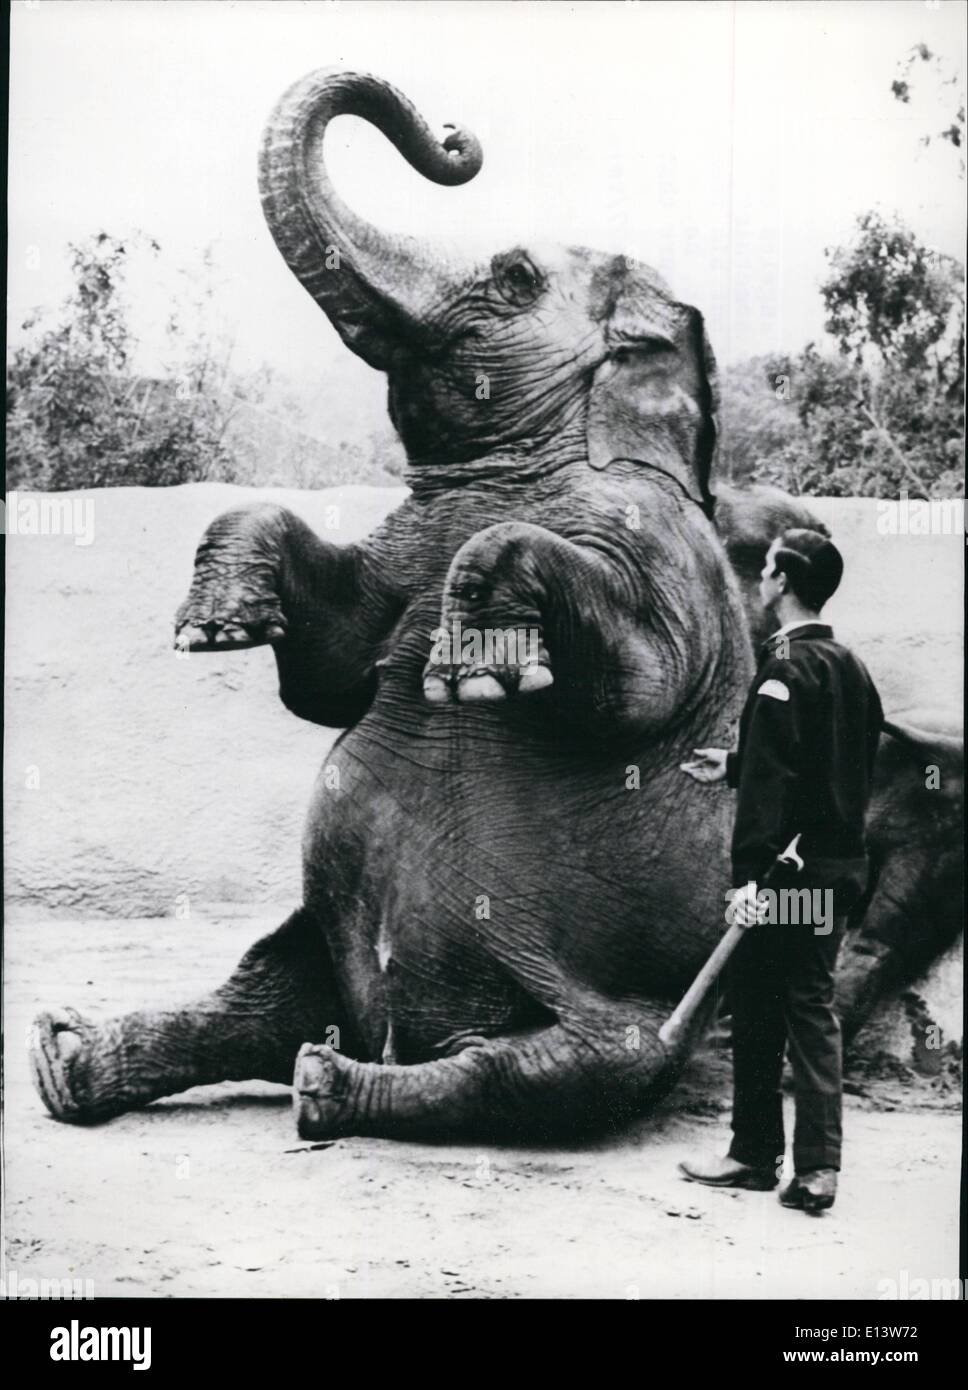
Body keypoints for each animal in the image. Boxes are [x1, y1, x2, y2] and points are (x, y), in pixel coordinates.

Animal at [30, 69, 962, 1141]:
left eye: (514, 276)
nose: (452, 136)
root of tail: (405, 1029)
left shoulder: (666, 554)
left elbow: (635, 686)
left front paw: (476, 671)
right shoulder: (399, 544)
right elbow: (327, 675)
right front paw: (216, 630)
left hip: (623, 1013)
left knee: (556, 1071)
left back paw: (328, 1086)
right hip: (318, 946)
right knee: (253, 997)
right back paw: (65, 1062)